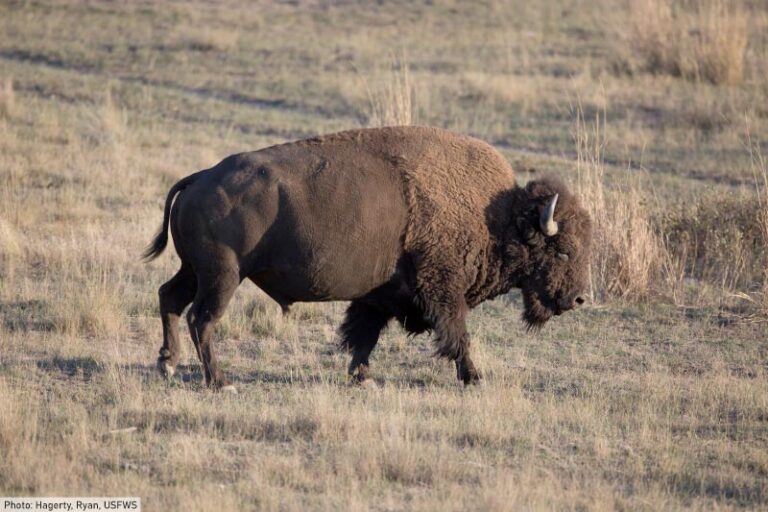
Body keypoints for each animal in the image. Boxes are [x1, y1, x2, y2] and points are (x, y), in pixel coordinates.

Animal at [145, 126, 592, 390]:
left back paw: (168, 364)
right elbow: (457, 335)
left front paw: (362, 377)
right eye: (563, 250)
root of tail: (200, 178)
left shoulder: (378, 296)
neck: (496, 215)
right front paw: (474, 377)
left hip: (194, 270)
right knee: (202, 319)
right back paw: (220, 381)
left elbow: (364, 335)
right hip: (223, 276)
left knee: (169, 297)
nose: (579, 299)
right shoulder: (444, 293)